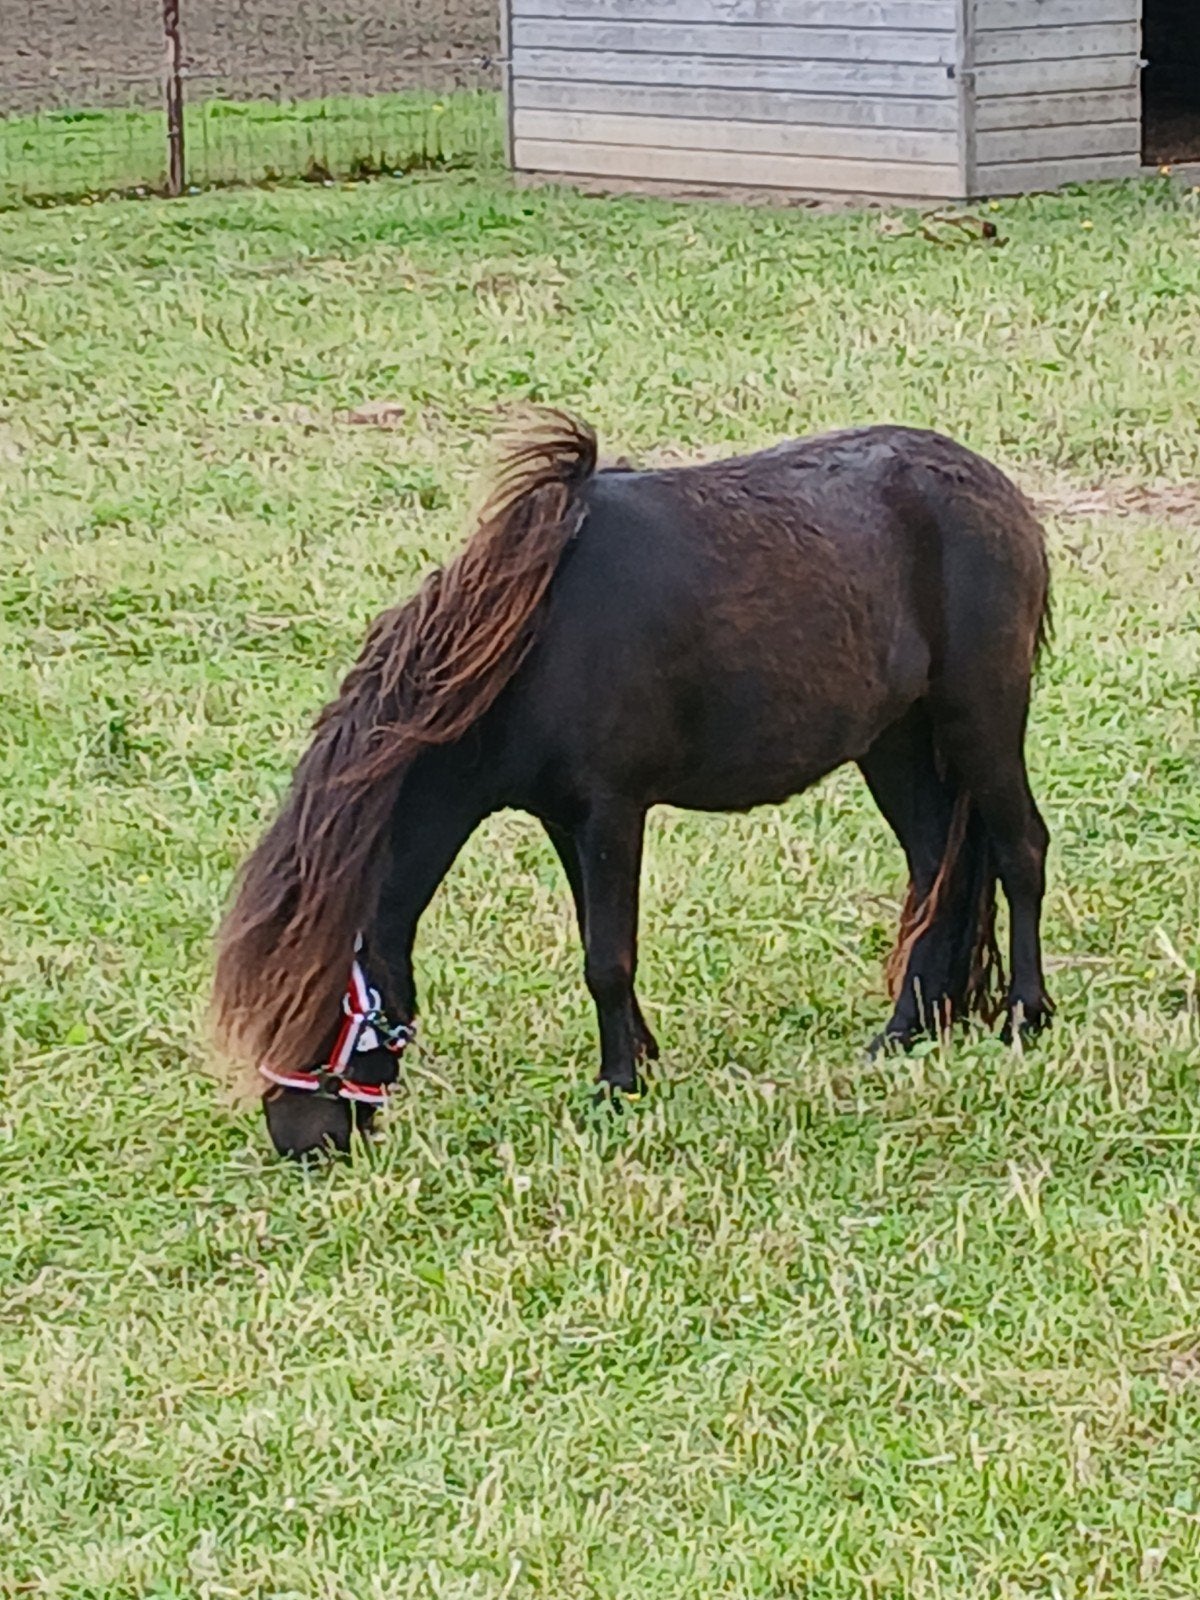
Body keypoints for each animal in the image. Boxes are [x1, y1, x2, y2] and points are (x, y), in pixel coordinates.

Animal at [211, 411, 1052, 1159]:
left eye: (314, 1006)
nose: (299, 1141)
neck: (533, 637)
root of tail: (1000, 493)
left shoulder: (611, 811)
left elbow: (607, 958)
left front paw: (618, 1083)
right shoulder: (564, 819)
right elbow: (599, 944)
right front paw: (640, 1059)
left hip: (980, 719)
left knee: (1021, 853)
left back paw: (1025, 1016)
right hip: (896, 743)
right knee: (936, 872)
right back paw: (908, 1029)